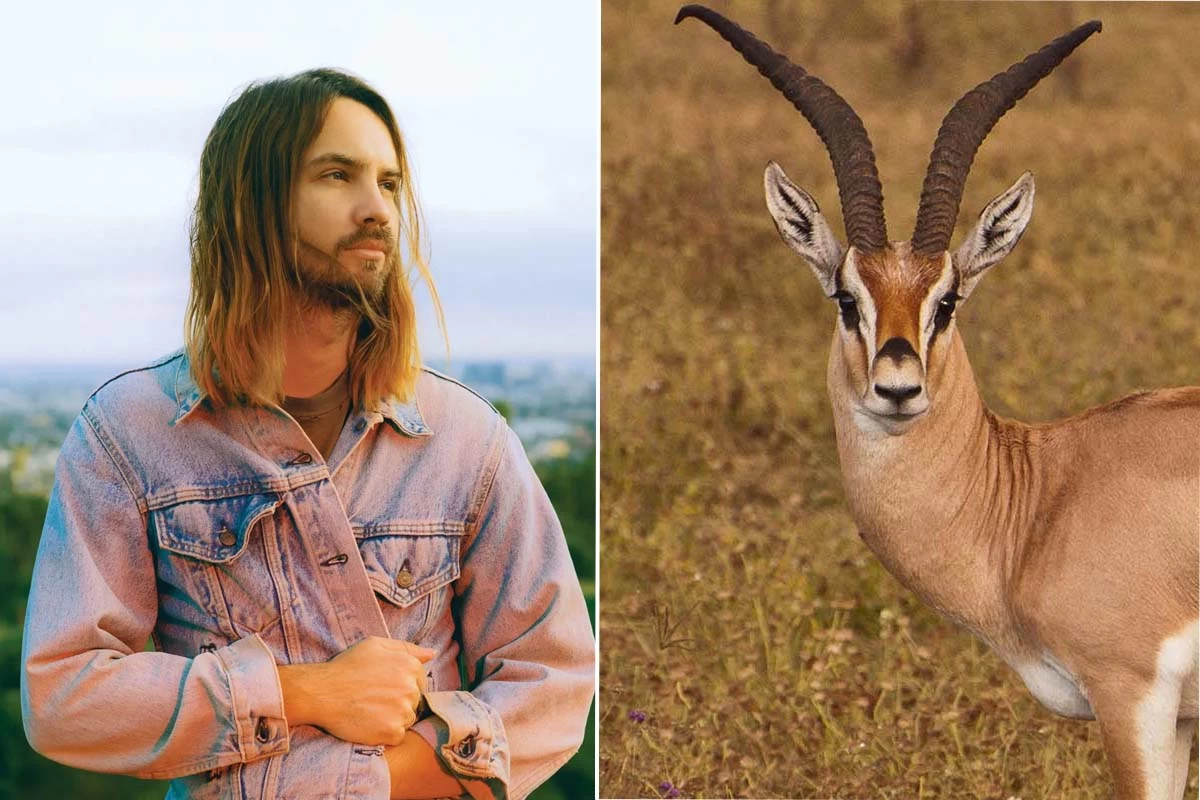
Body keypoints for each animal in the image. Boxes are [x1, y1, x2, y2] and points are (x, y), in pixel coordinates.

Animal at [676, 6, 1200, 798]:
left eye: (947, 301)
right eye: (846, 298)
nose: (898, 387)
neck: (1042, 500)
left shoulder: (1131, 691)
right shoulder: (1179, 717)